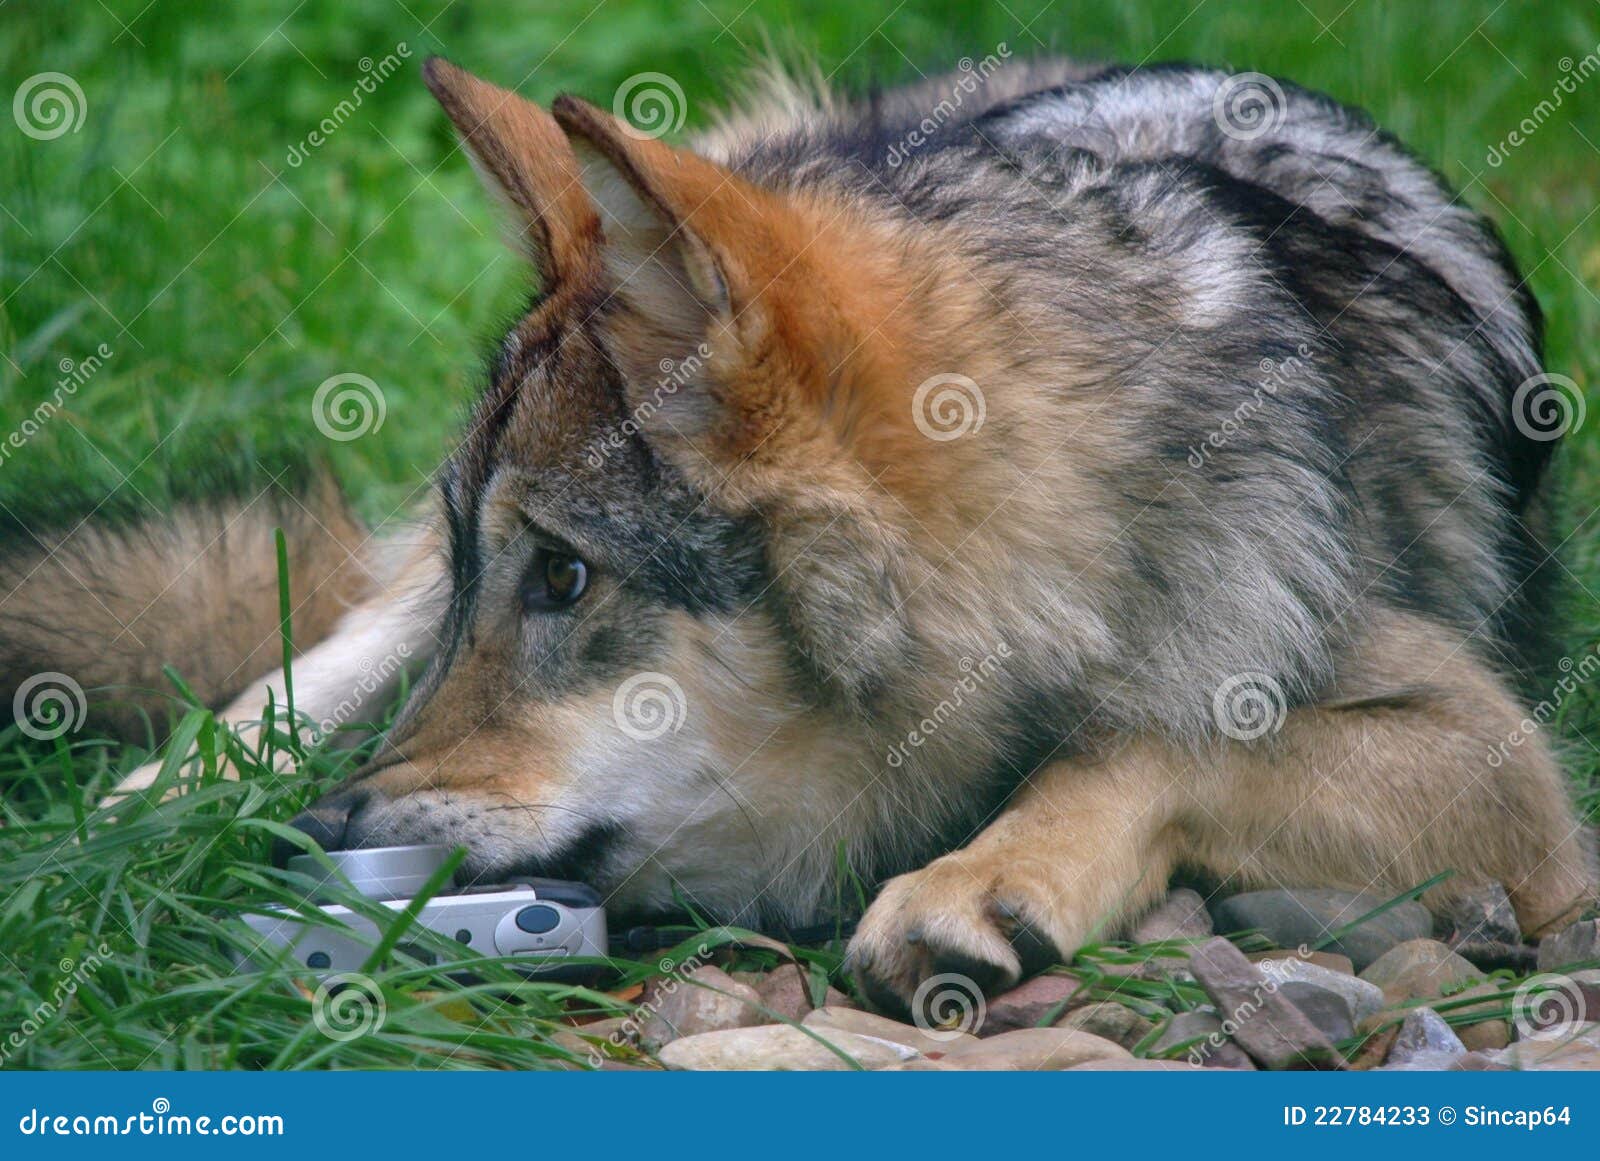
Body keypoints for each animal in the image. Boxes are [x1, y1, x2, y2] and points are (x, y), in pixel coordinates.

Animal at [4, 55, 1594, 1015]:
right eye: (487, 574)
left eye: (563, 575)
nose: (329, 833)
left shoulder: (1504, 763)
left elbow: (1153, 740)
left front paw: (973, 877)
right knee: (308, 661)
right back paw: (116, 835)